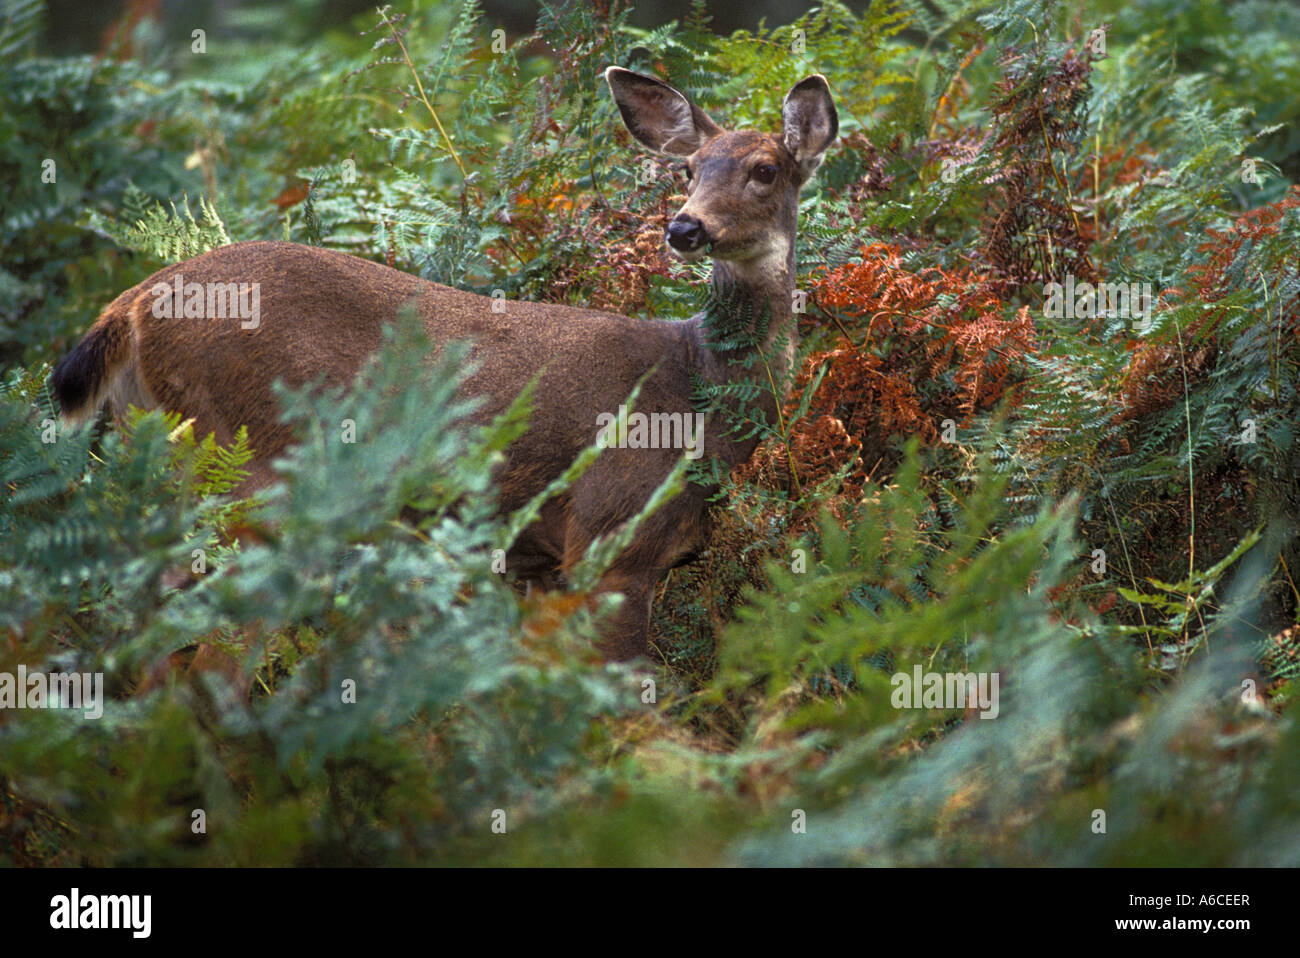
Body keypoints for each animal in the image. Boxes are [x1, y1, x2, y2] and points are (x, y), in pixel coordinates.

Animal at [50, 67, 839, 661]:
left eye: (765, 169)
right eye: (689, 168)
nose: (684, 227)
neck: (699, 391)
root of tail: (130, 304)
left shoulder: (546, 561)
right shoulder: (612, 531)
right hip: (250, 466)